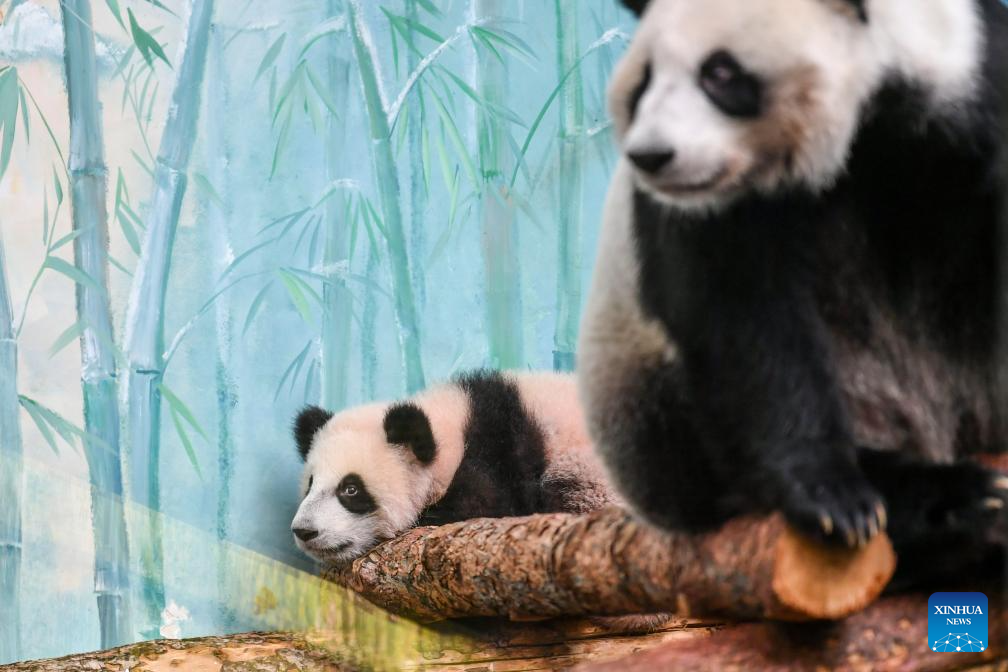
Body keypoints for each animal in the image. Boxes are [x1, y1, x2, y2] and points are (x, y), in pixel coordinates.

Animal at [579, 0, 1008, 586]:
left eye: (719, 73)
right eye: (643, 79)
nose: (652, 154)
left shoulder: (968, 104)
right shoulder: (713, 209)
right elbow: (748, 324)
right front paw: (835, 499)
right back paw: (945, 503)